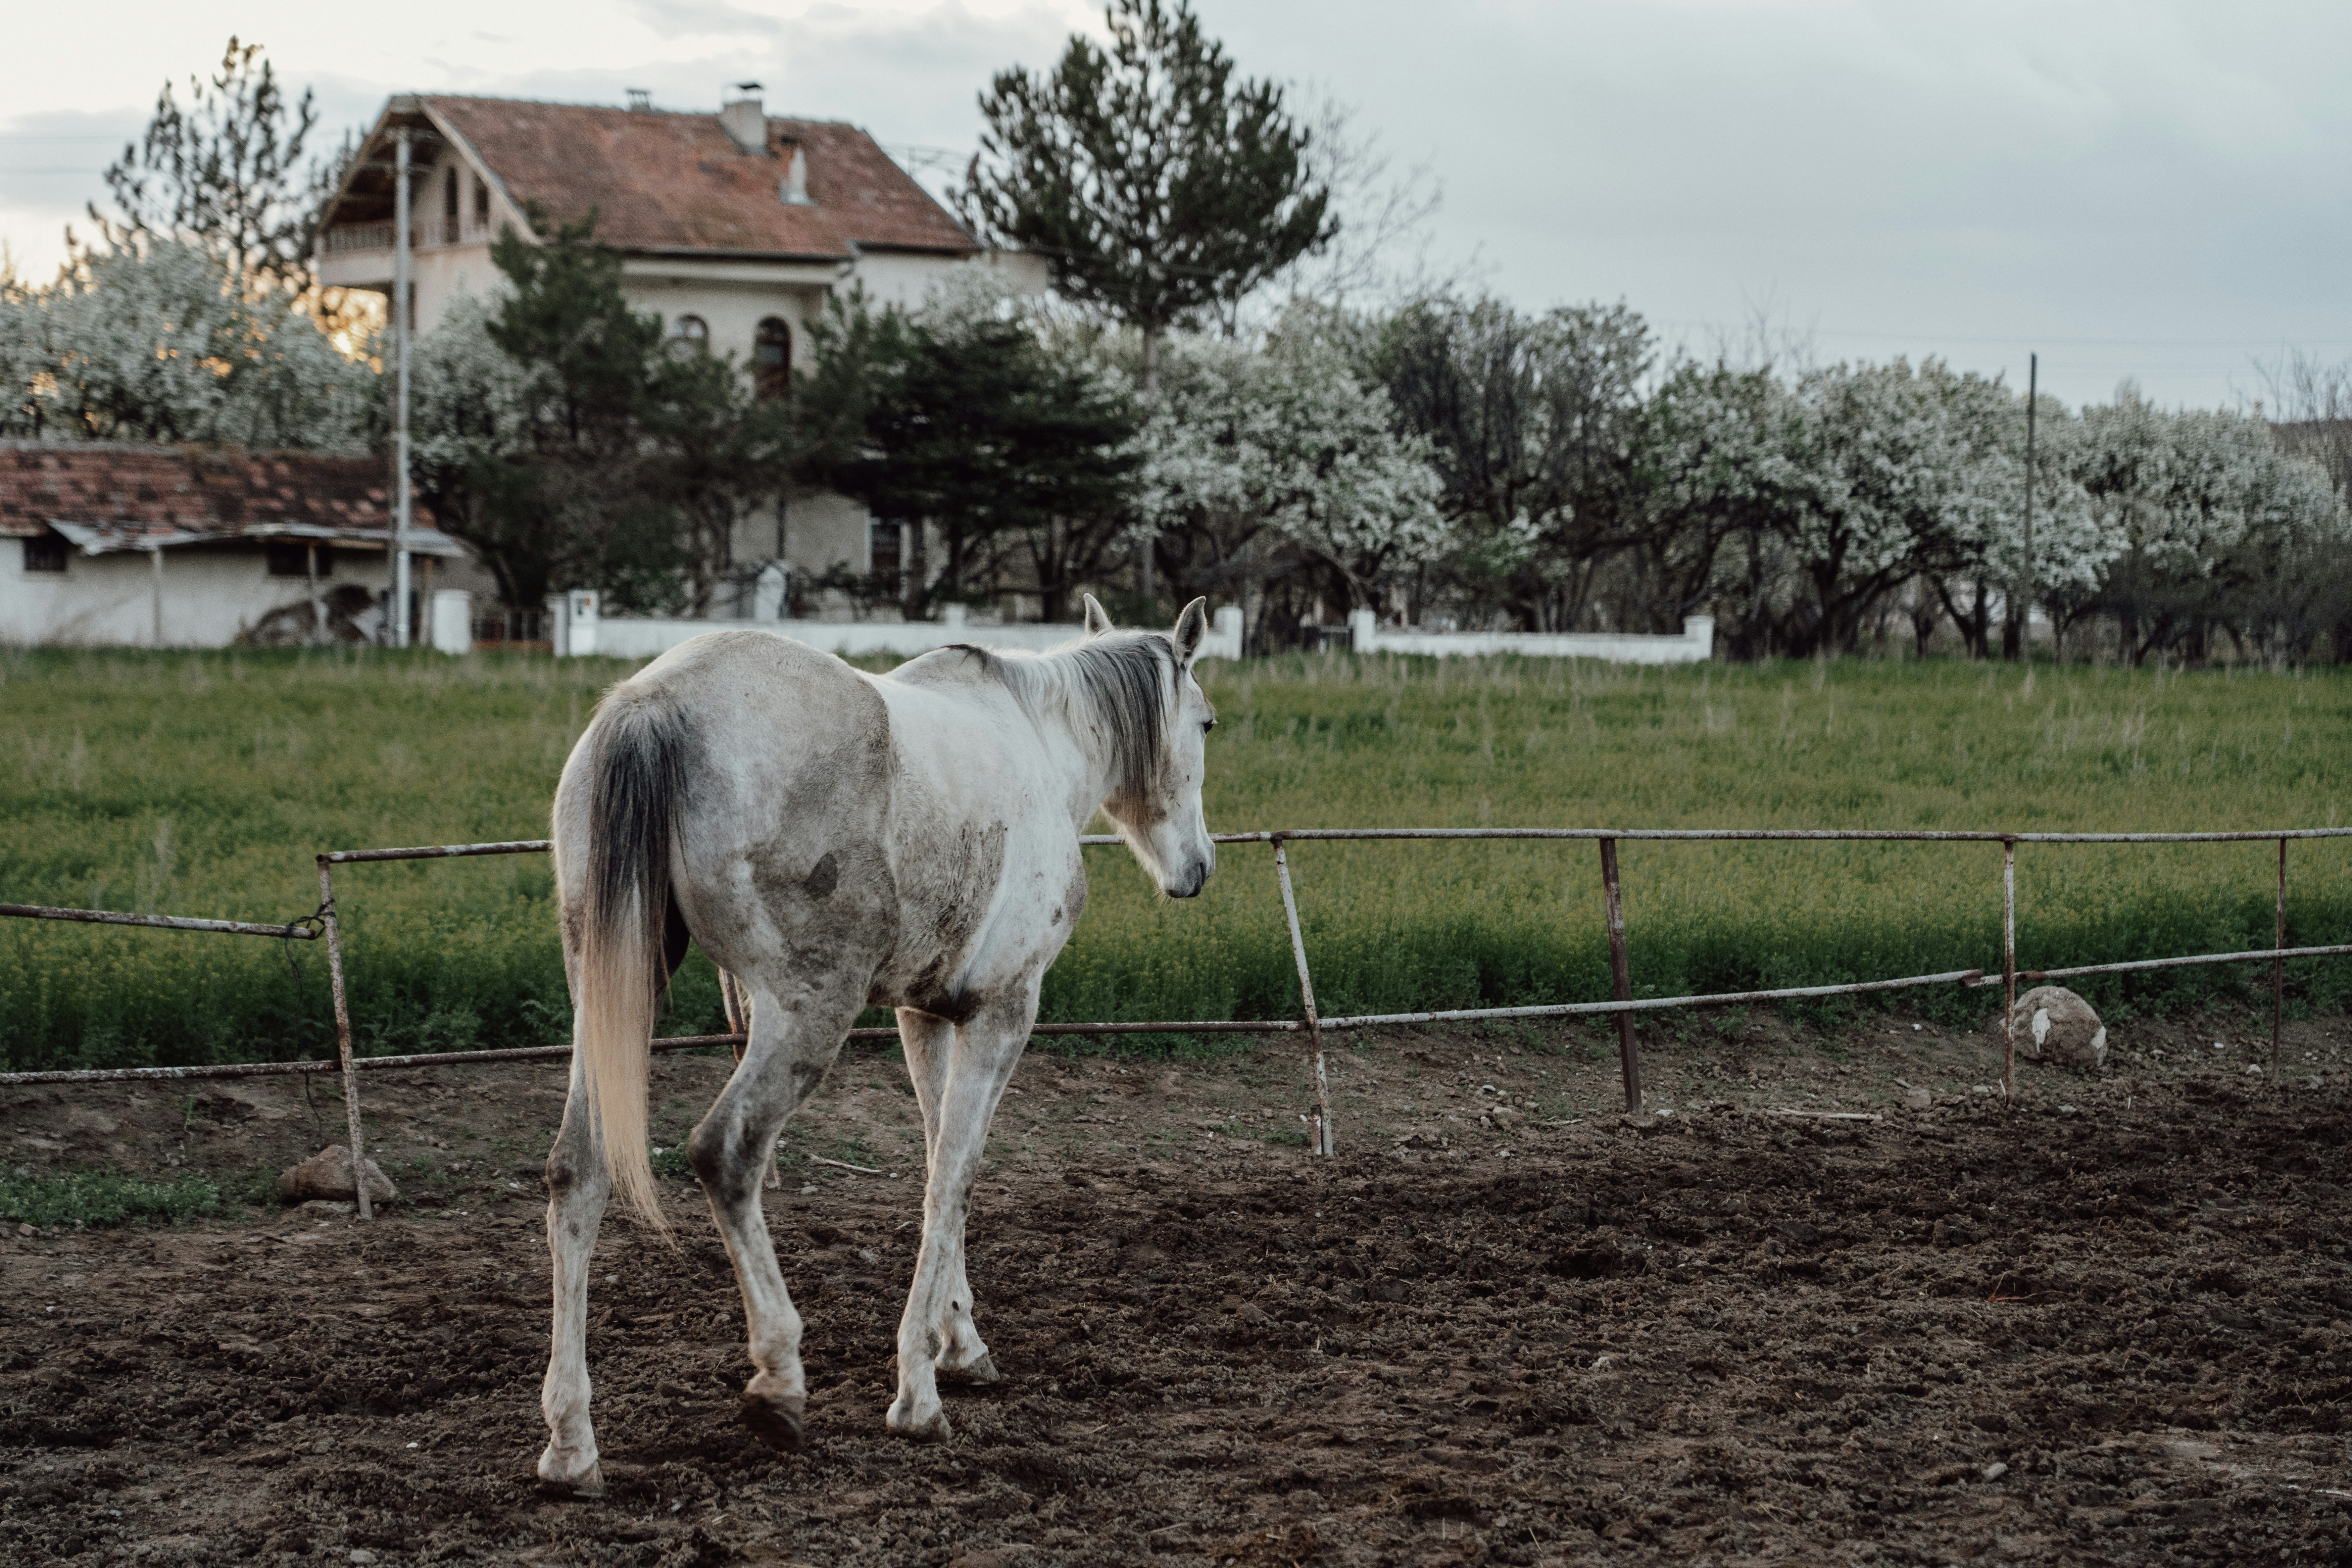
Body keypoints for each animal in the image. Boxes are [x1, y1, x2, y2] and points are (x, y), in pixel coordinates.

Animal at [536, 595, 1219, 1496]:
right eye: (1206, 722)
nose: (1198, 868)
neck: (1039, 740)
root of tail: (656, 706)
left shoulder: (926, 1015)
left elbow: (938, 1166)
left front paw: (960, 1343)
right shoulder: (1006, 1009)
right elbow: (955, 1175)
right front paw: (919, 1391)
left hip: (609, 994)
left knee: (578, 1172)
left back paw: (571, 1443)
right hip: (804, 1014)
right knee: (726, 1151)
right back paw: (779, 1376)